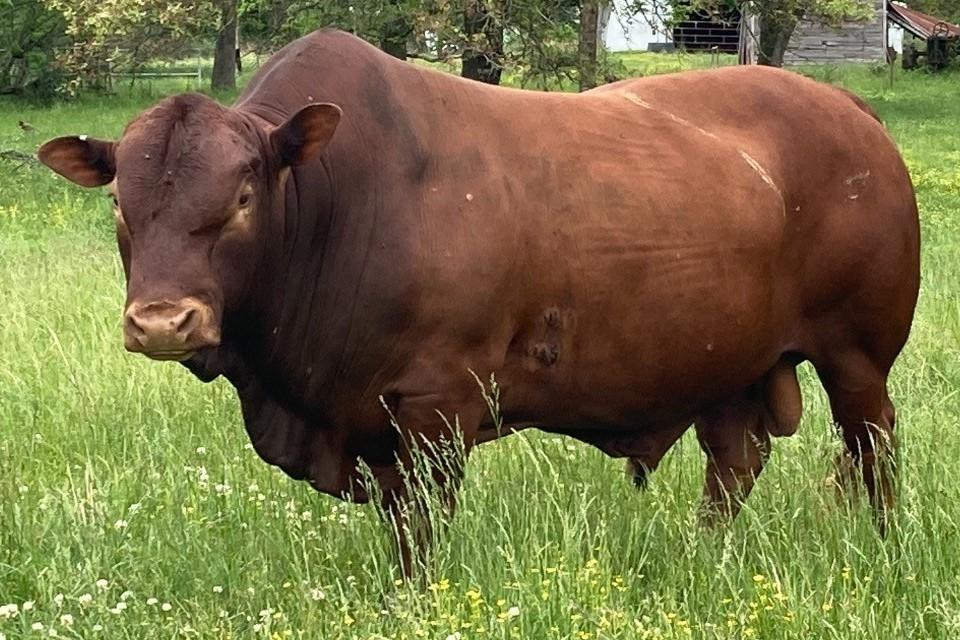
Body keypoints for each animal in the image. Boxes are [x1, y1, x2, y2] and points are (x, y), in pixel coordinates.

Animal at [38, 30, 920, 575]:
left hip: (858, 357)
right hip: (727, 361)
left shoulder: (436, 408)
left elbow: (419, 535)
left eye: (244, 197)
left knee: (873, 447)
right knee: (734, 462)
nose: (162, 322)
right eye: (120, 202)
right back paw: (700, 557)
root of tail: (847, 108)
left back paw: (885, 548)